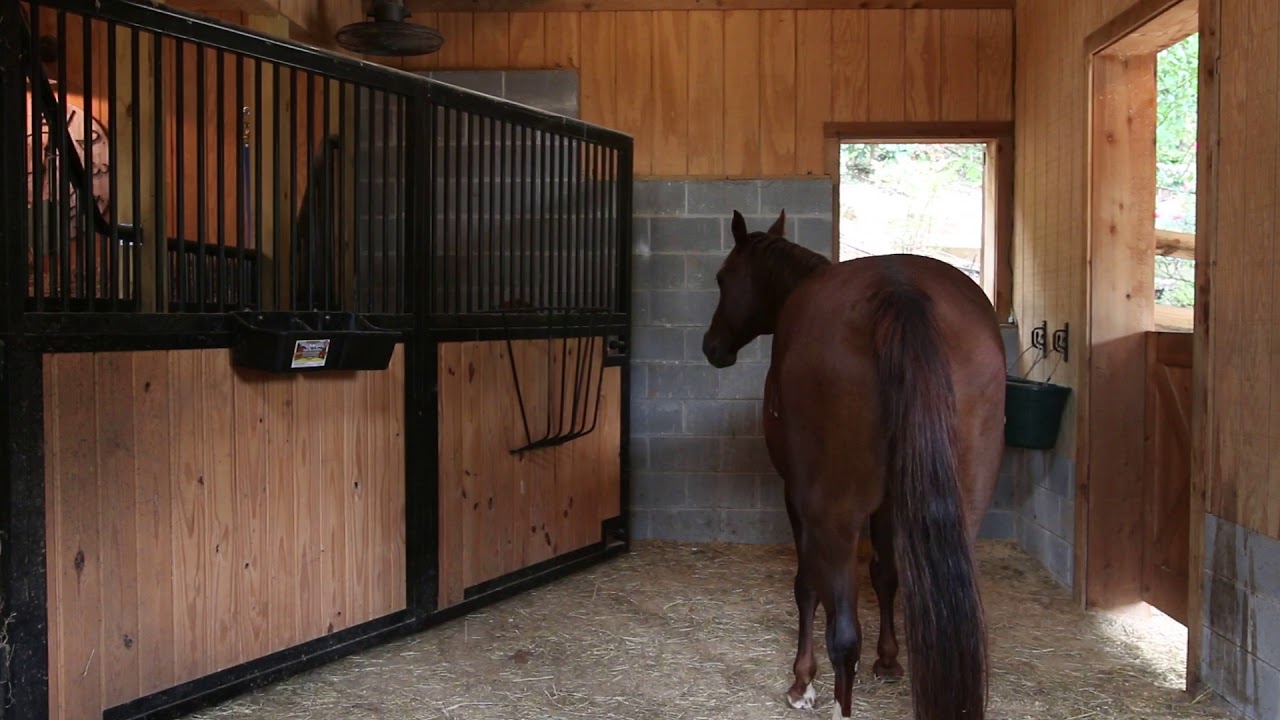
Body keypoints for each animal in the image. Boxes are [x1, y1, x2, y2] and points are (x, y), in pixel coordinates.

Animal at [701, 210, 1005, 720]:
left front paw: (802, 682)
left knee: (843, 635)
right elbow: (885, 575)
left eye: (724, 278)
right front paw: (889, 660)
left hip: (835, 515)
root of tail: (900, 293)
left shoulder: (798, 498)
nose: (712, 346)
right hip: (962, 511)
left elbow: (807, 585)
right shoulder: (886, 505)